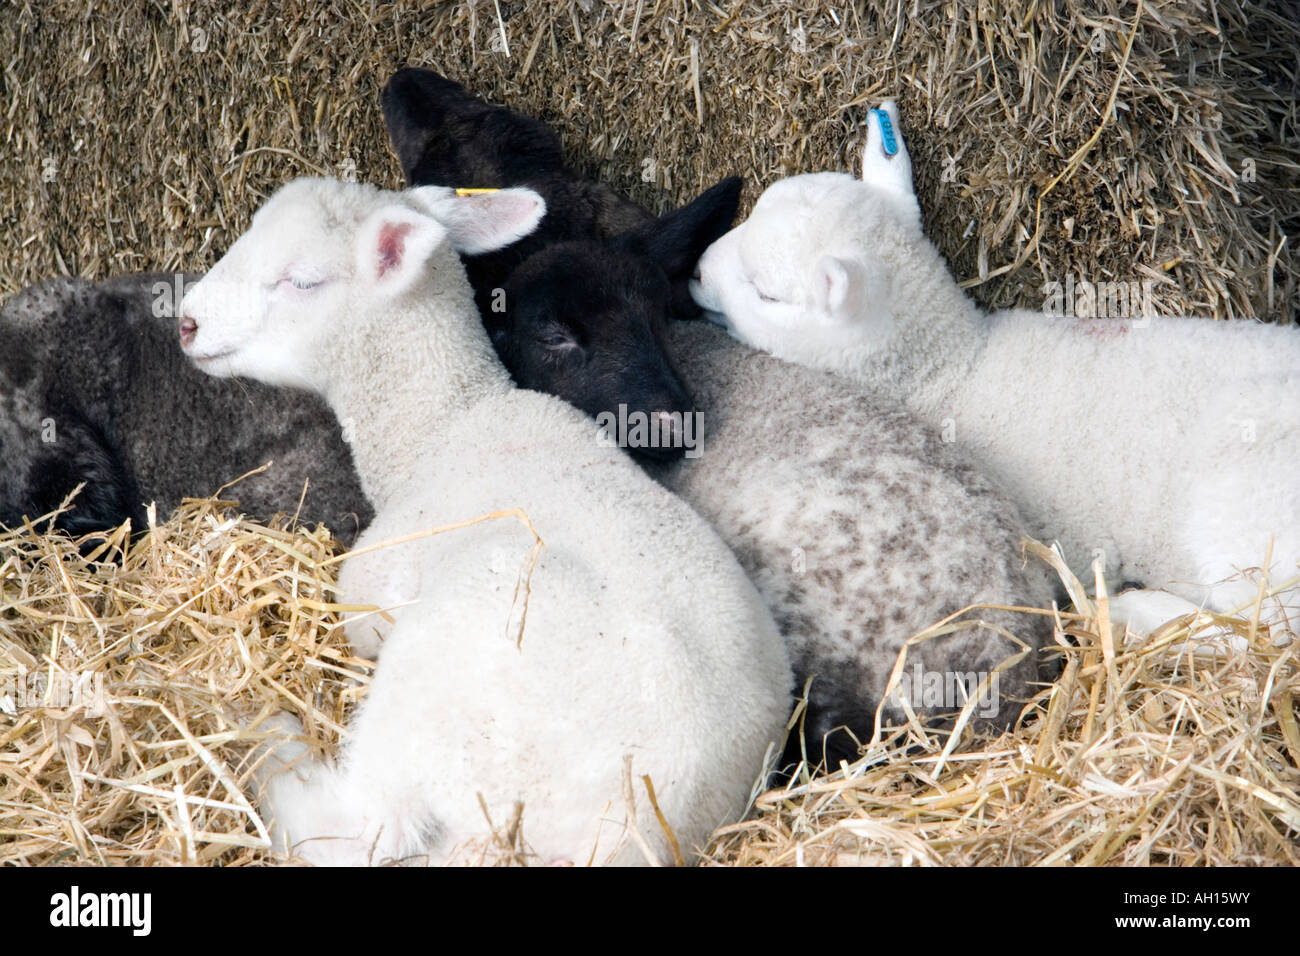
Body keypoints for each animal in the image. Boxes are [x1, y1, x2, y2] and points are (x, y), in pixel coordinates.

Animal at [178, 177, 792, 866]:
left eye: (301, 281)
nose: (186, 322)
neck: (444, 420)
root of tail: (624, 838)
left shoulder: (371, 604)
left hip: (439, 681)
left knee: (358, 828)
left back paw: (258, 739)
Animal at [692, 100, 1300, 646]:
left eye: (768, 294)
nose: (695, 271)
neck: (954, 368)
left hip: (1245, 516)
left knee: (1260, 639)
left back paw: (1138, 612)